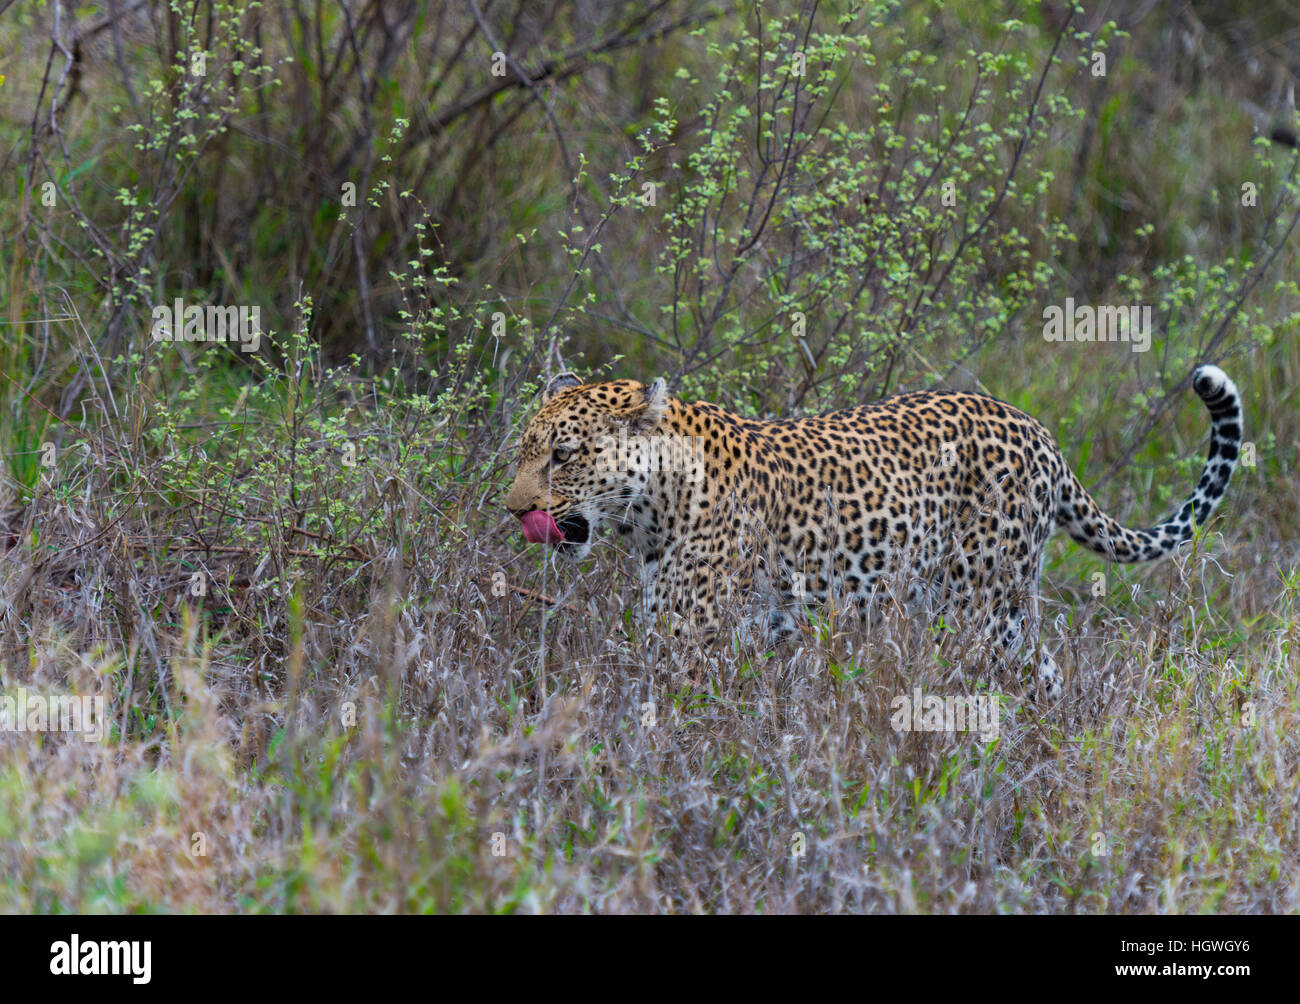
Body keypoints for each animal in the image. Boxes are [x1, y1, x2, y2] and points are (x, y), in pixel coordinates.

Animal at [503, 366, 1242, 700]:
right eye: (523, 451)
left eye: (563, 455)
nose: (514, 510)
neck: (653, 503)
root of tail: (1038, 431)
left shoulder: (689, 631)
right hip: (999, 609)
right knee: (1045, 668)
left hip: (975, 603)